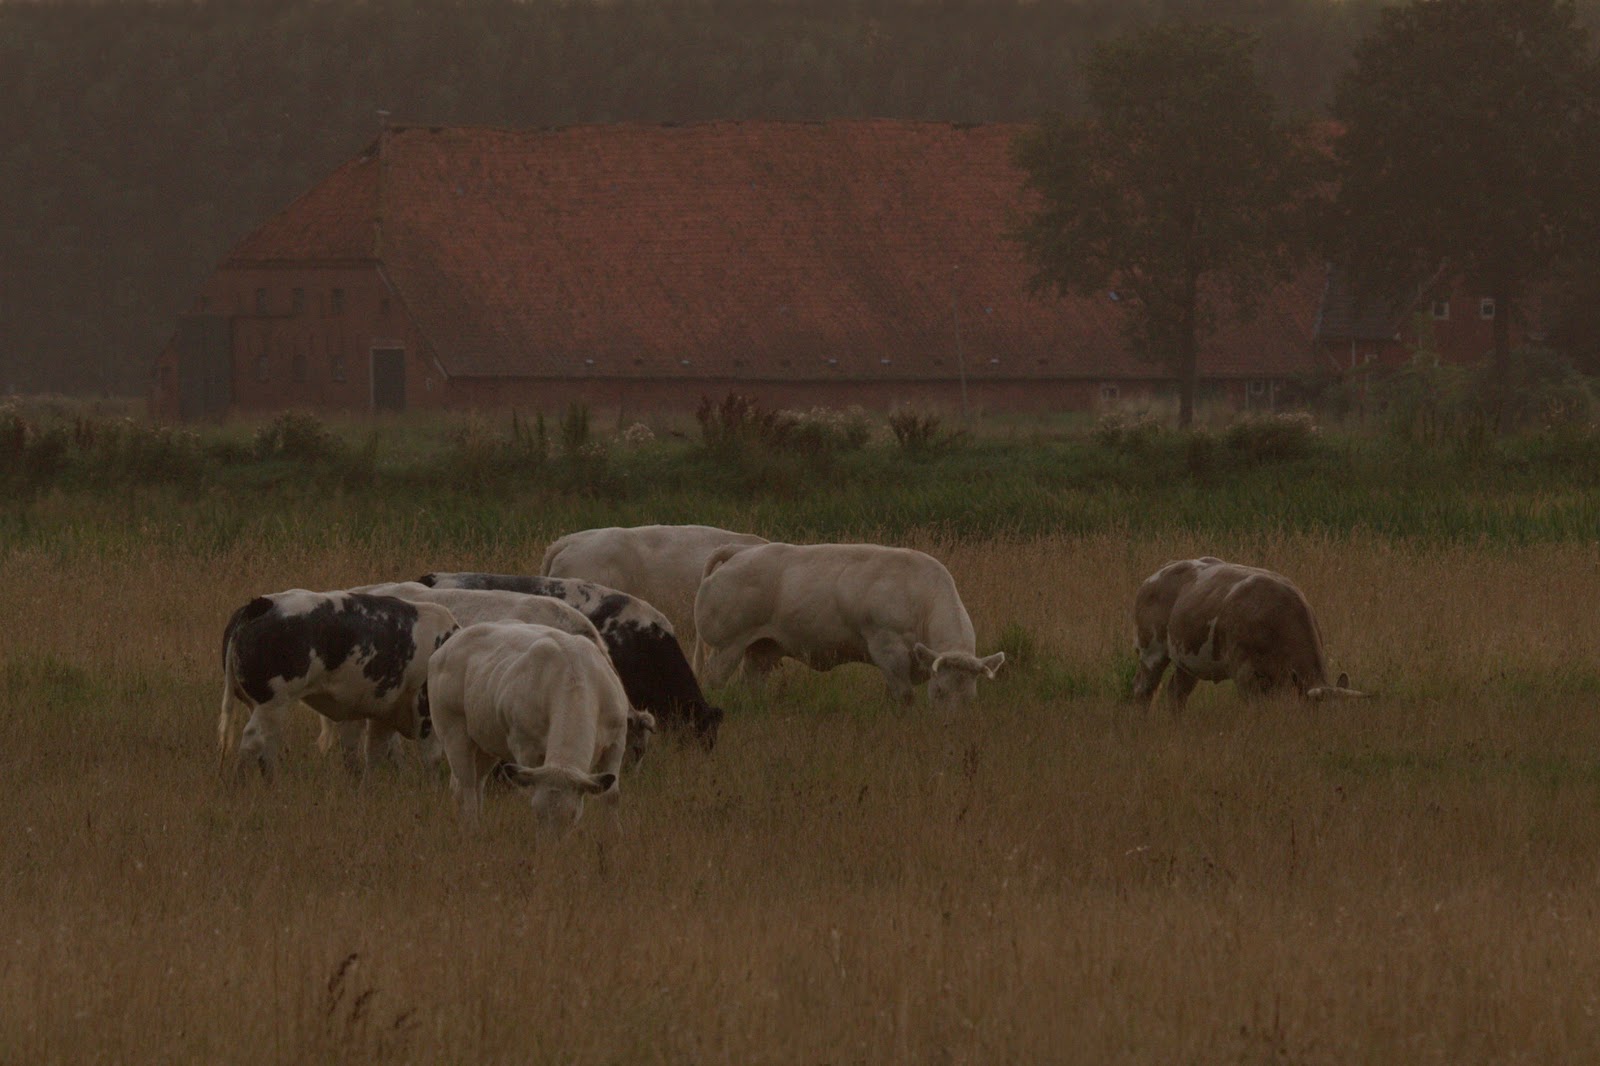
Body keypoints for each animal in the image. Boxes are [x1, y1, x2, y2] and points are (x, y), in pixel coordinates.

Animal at [217, 590, 458, 778]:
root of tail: (261, 603)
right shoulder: (424, 709)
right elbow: (431, 758)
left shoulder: (380, 712)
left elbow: (372, 754)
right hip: (272, 702)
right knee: (252, 741)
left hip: (267, 707)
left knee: (267, 747)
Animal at [428, 621, 644, 832]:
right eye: (537, 813)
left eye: (573, 815)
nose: (552, 843)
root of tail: (446, 647)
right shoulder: (526, 748)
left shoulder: (617, 741)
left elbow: (612, 795)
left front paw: (614, 834)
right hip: (453, 732)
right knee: (466, 785)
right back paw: (471, 828)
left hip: (485, 743)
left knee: (473, 784)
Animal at [693, 542, 1005, 713]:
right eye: (939, 692)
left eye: (970, 698)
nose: (949, 728)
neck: (920, 595)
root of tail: (740, 550)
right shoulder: (886, 647)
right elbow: (904, 696)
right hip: (726, 647)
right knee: (715, 680)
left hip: (763, 648)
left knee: (751, 683)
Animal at [1131, 557, 1370, 712]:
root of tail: (1156, 575)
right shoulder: (1244, 673)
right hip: (1151, 652)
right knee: (1143, 691)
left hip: (1188, 660)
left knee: (1176, 693)